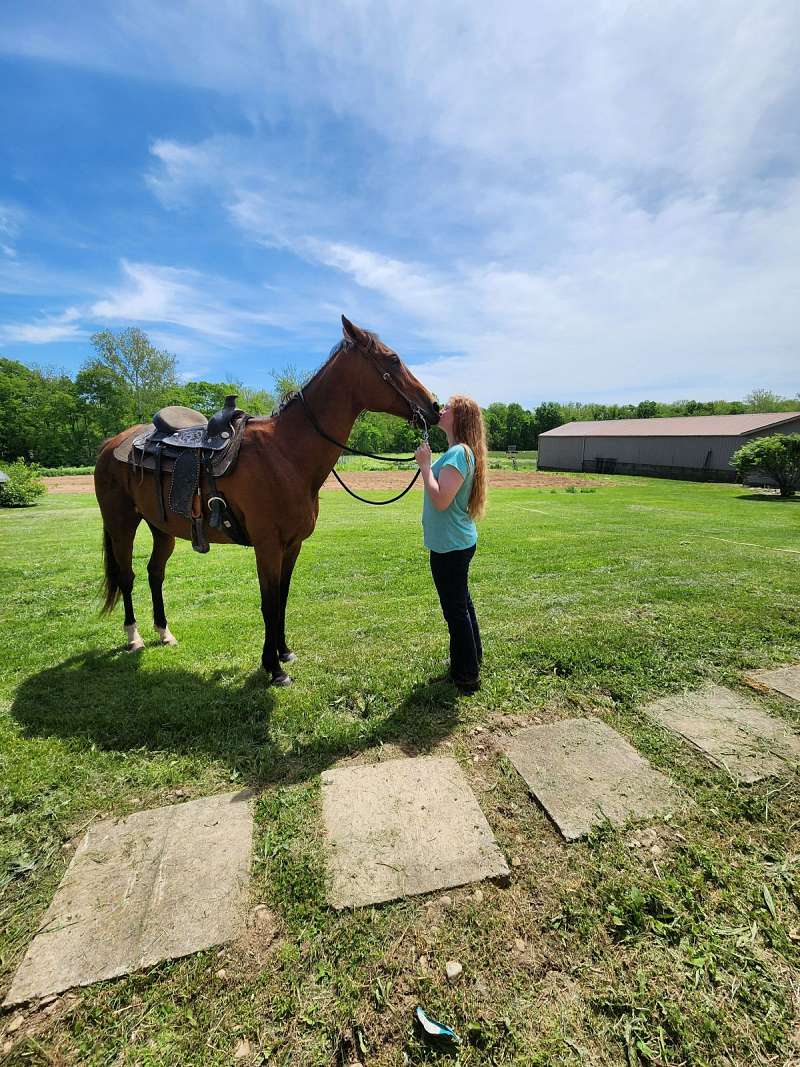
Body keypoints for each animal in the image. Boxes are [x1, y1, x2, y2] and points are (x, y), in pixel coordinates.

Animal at [93, 316, 440, 685]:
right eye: (392, 359)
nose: (434, 407)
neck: (286, 452)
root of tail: (111, 444)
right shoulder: (267, 546)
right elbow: (268, 603)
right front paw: (274, 668)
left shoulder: (292, 546)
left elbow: (282, 599)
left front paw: (284, 652)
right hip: (121, 524)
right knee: (127, 575)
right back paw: (134, 637)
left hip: (161, 528)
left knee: (154, 572)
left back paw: (164, 632)